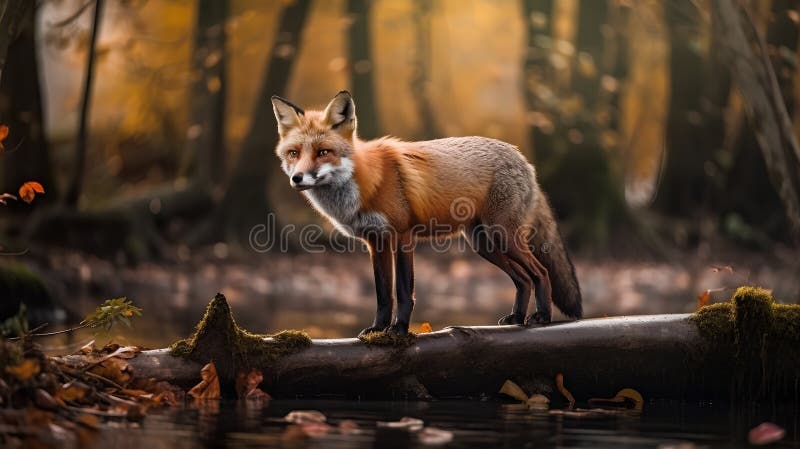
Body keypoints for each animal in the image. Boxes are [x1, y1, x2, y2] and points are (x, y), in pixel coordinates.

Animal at [271, 91, 582, 336]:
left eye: (323, 152)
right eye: (293, 153)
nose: (297, 178)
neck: (367, 182)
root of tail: (524, 160)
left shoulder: (402, 235)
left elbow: (403, 291)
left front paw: (399, 329)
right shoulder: (376, 242)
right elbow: (383, 294)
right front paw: (379, 328)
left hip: (502, 236)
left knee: (540, 272)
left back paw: (542, 316)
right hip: (484, 245)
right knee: (524, 279)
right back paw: (517, 317)